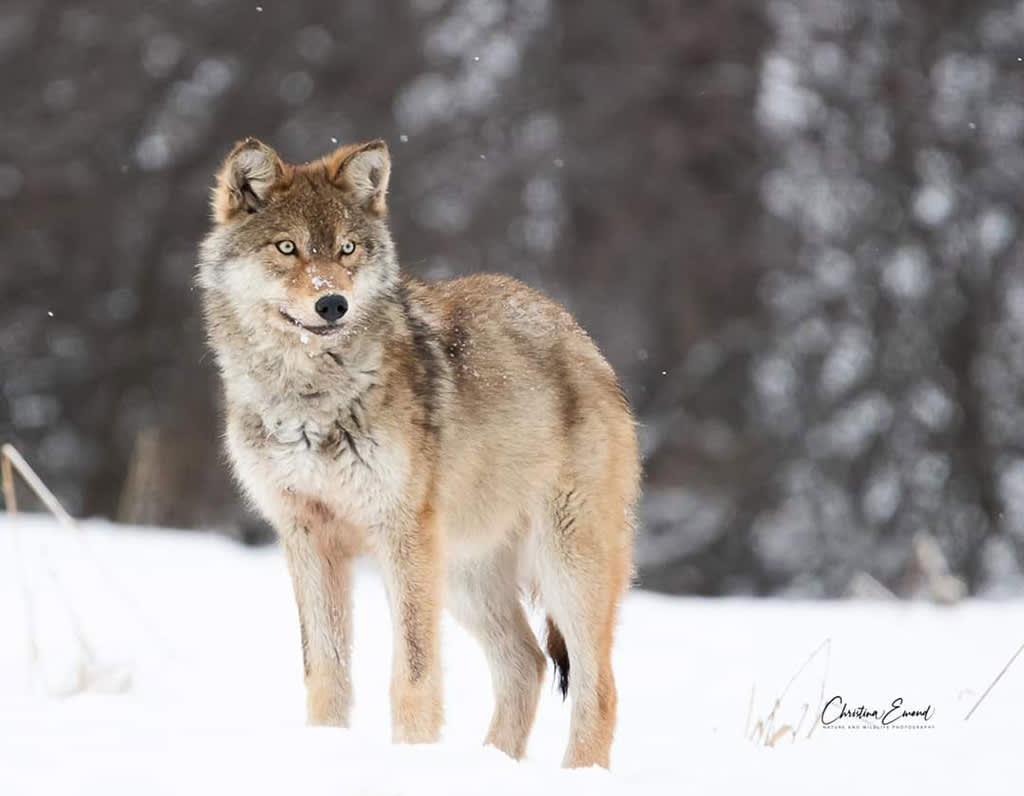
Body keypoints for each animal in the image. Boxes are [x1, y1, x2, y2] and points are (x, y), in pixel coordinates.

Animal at [197, 137, 640, 768]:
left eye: (347, 248)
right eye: (287, 248)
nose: (332, 303)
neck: (310, 398)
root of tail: (581, 339)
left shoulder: (399, 532)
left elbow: (413, 671)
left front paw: (411, 756)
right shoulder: (307, 534)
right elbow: (325, 670)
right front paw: (326, 749)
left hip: (563, 564)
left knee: (597, 686)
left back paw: (576, 774)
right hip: (463, 574)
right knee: (526, 664)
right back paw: (493, 765)